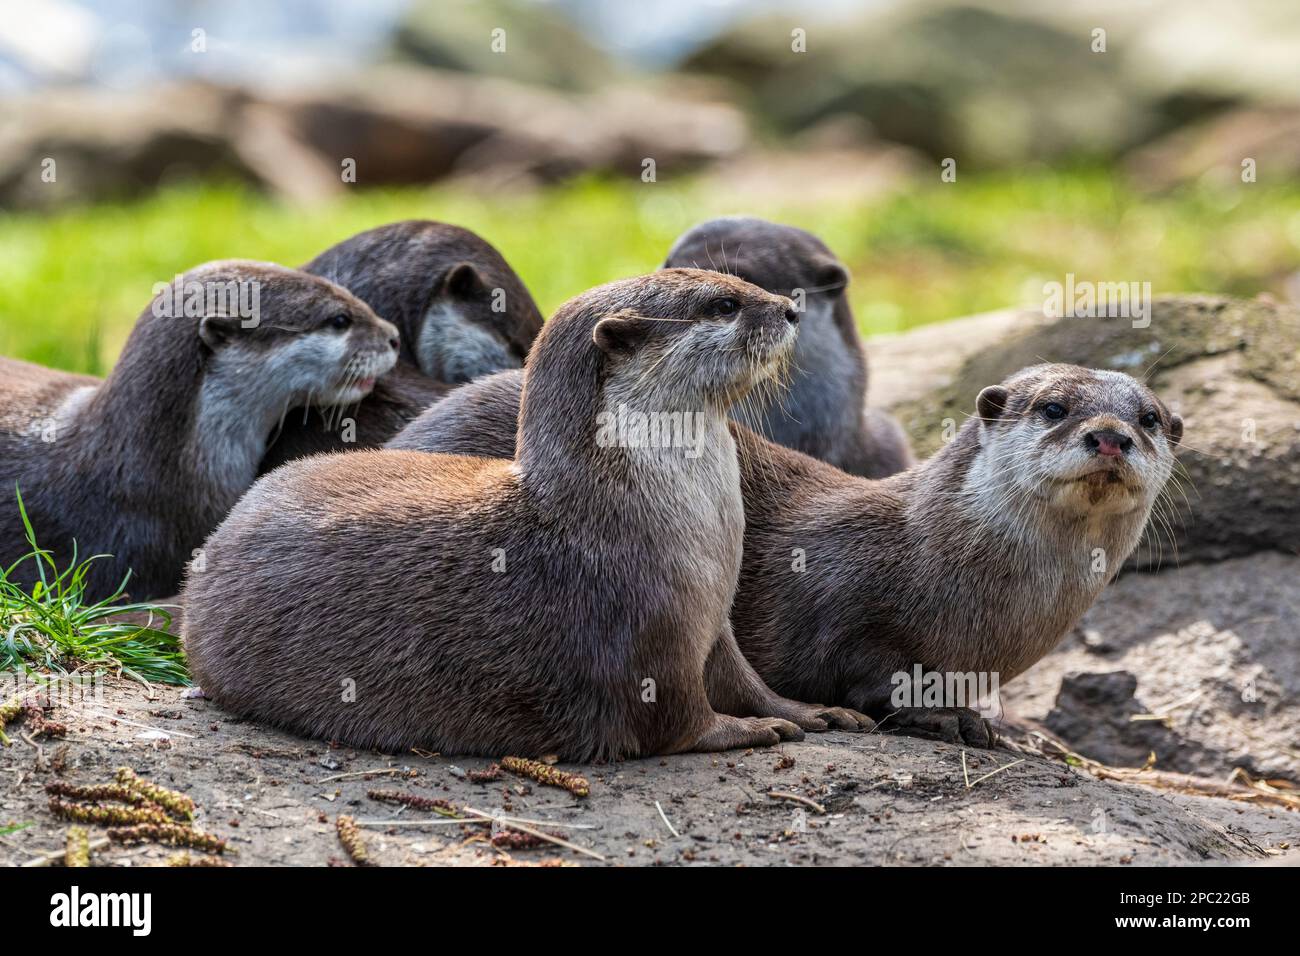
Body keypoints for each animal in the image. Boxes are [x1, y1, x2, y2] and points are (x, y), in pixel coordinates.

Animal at [184, 270, 870, 759]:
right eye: (723, 304)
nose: (790, 309)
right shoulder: (652, 631)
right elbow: (677, 718)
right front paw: (739, 730)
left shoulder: (712, 614)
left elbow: (747, 679)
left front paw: (809, 712)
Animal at [386, 363, 1182, 746]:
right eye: (1054, 408)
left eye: (1149, 418)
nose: (1110, 436)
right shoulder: (842, 593)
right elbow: (864, 667)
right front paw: (945, 719)